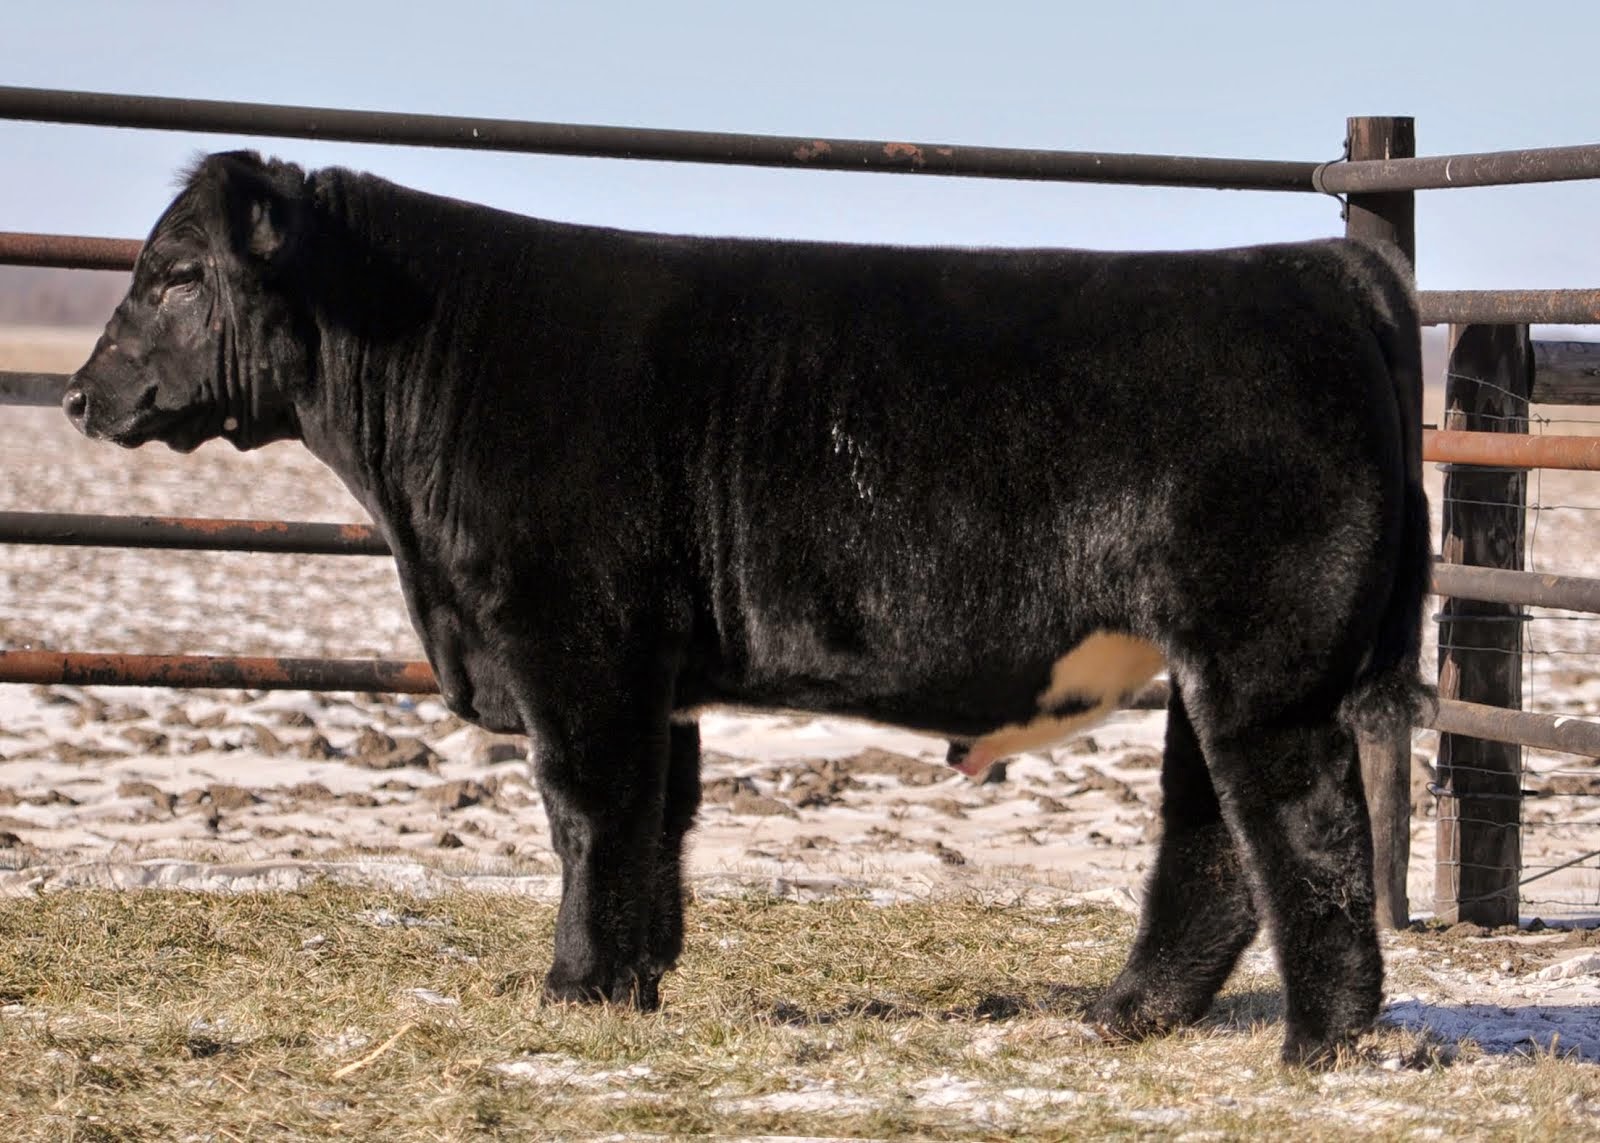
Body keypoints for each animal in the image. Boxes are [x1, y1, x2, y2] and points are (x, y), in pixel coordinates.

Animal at [64, 150, 1431, 1066]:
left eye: (178, 275)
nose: (81, 395)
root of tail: (1318, 266)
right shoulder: (648, 672)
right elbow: (657, 817)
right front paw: (634, 980)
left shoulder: (577, 642)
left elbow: (588, 814)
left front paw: (571, 988)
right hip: (1216, 667)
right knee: (1214, 838)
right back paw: (1128, 1015)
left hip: (1262, 659)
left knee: (1300, 827)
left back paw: (1318, 1044)